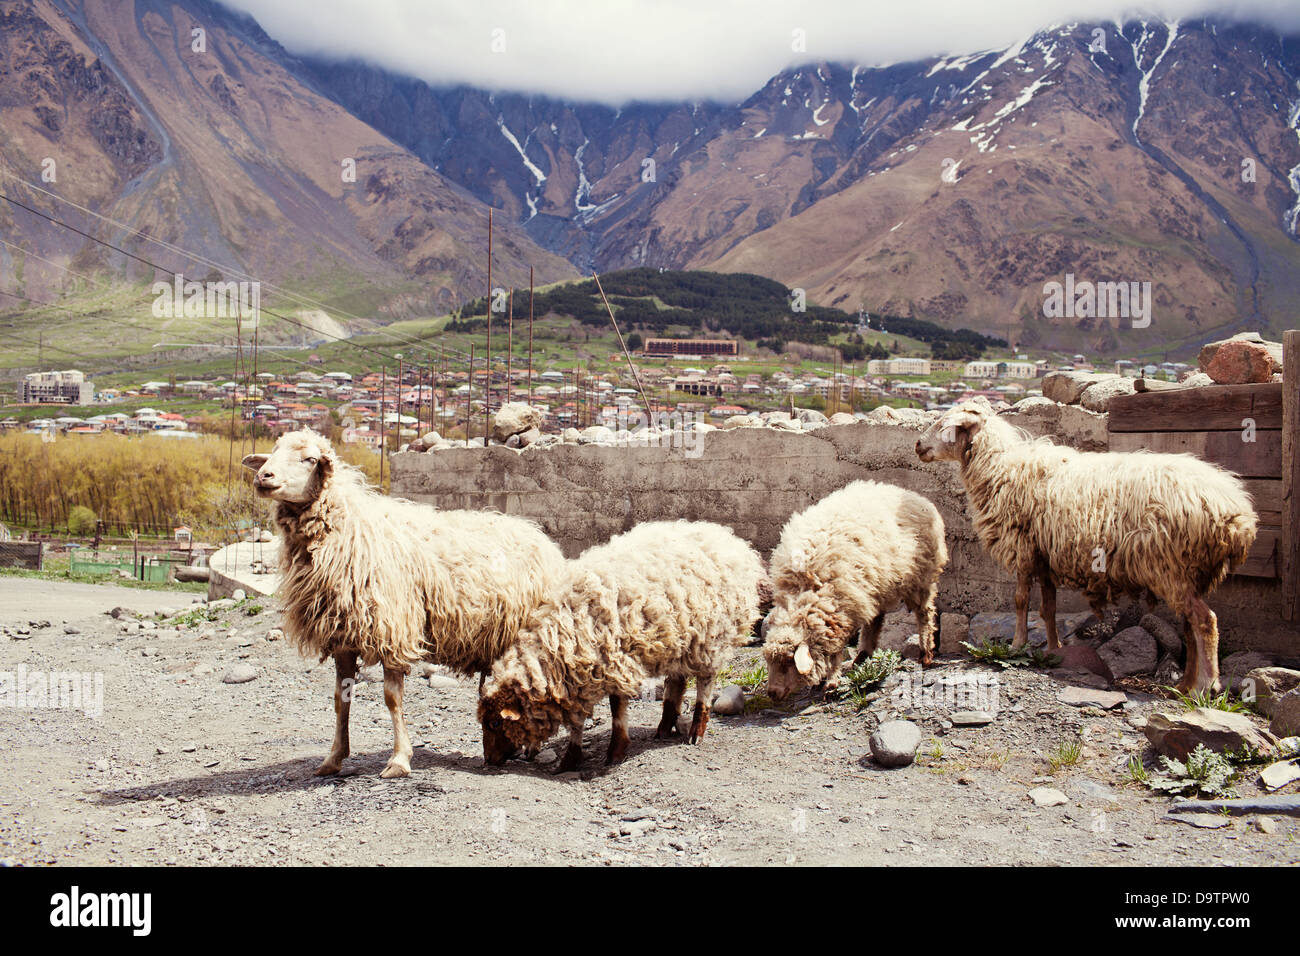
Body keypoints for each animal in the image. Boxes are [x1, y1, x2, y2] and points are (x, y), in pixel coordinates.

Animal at [242, 428, 563, 778]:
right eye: (273, 452)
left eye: (310, 459)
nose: (263, 476)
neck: (350, 530)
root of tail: (541, 538)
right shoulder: (343, 636)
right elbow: (342, 699)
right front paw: (334, 758)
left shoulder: (393, 629)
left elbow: (391, 698)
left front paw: (399, 760)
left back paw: (530, 748)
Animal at [478, 520, 765, 772]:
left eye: (495, 722)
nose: (489, 761)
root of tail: (727, 537)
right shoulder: (579, 676)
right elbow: (577, 721)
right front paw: (570, 760)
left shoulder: (614, 663)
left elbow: (616, 710)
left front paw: (615, 752)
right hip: (681, 639)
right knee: (677, 680)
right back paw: (664, 726)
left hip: (711, 639)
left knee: (705, 683)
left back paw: (696, 732)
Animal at [763, 480, 948, 702]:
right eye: (770, 663)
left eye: (789, 662)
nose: (772, 693)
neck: (803, 590)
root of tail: (918, 497)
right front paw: (824, 681)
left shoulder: (842, 607)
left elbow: (835, 652)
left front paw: (830, 683)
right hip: (876, 585)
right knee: (875, 620)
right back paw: (862, 656)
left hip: (920, 577)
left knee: (924, 614)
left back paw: (925, 653)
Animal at [915, 399, 1258, 693]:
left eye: (946, 425)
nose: (918, 446)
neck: (1000, 467)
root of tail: (1236, 513)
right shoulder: (1045, 554)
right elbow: (1048, 607)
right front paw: (1054, 649)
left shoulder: (1022, 547)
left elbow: (1021, 601)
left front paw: (1016, 645)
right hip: (1188, 569)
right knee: (1189, 624)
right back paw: (1184, 685)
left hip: (1170, 565)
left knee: (1205, 621)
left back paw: (1206, 686)